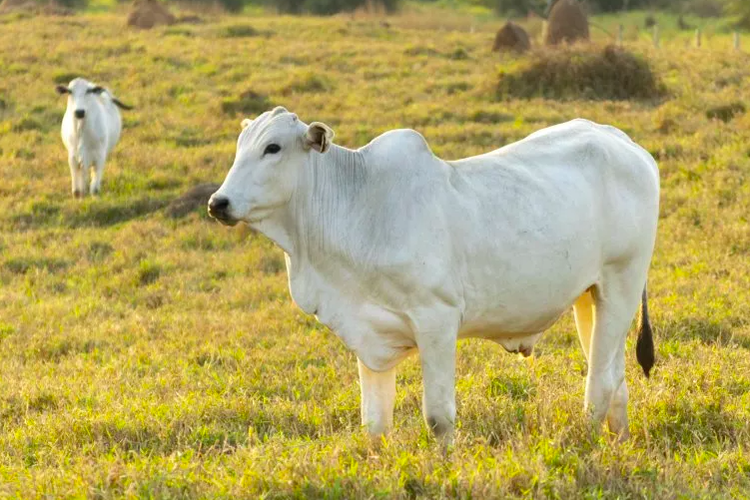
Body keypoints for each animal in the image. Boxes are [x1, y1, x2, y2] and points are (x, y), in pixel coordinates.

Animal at [209, 107, 660, 444]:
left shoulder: (437, 321)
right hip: (589, 296)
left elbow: (439, 418)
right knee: (615, 378)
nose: (218, 202)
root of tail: (623, 142)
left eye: (272, 147)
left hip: (622, 284)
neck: (358, 205)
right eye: (240, 147)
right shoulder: (368, 333)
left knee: (598, 386)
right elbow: (374, 425)